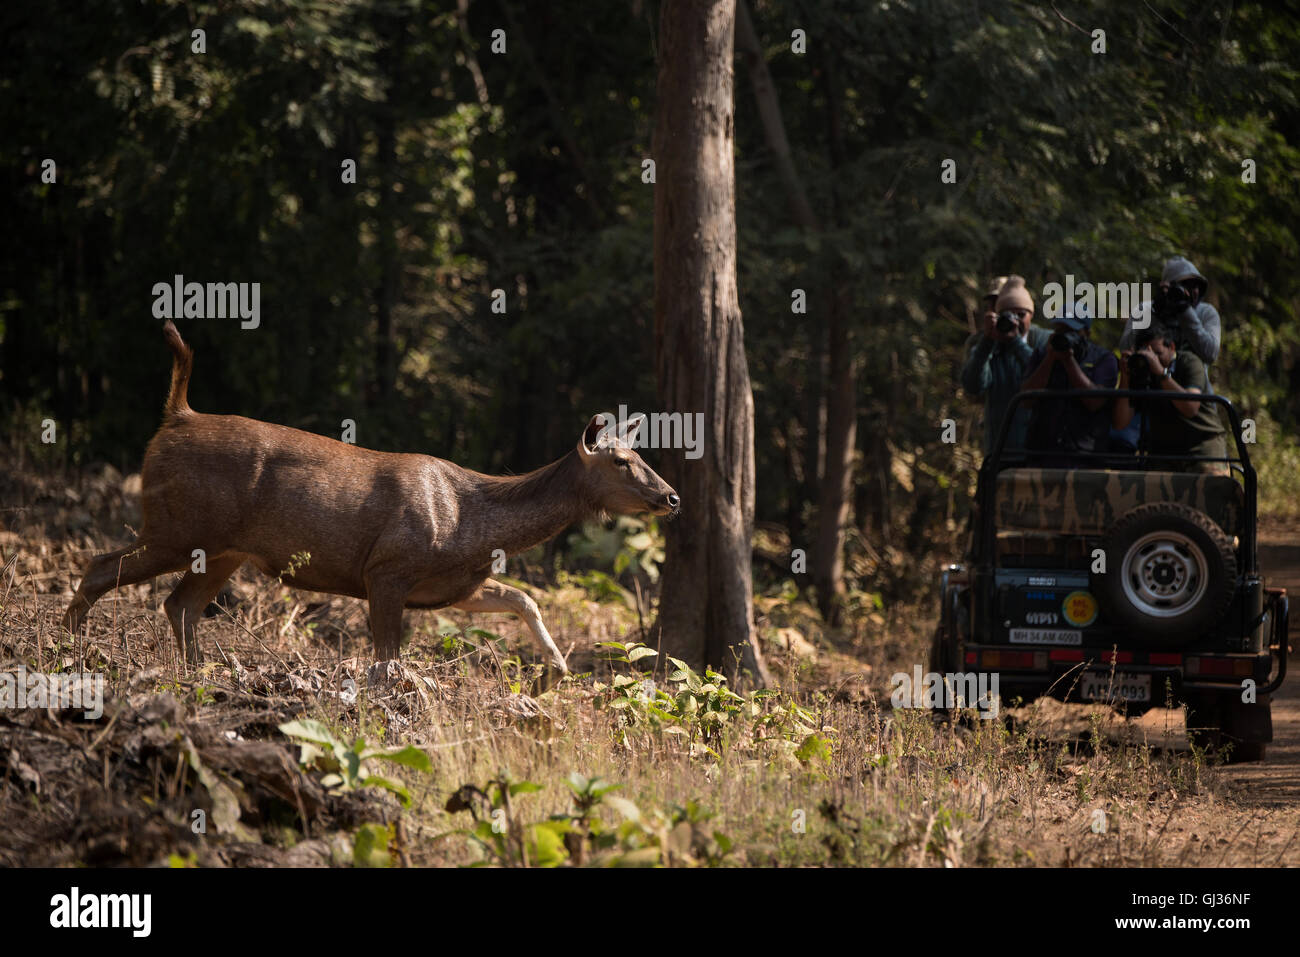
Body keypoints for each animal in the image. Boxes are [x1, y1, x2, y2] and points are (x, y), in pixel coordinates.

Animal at [63, 322, 680, 674]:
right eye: (622, 462)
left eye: (640, 454)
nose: (672, 497)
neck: (471, 526)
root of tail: (176, 416)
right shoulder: (387, 568)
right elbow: (386, 663)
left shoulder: (454, 587)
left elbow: (524, 598)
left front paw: (557, 666)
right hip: (177, 524)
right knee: (100, 567)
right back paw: (69, 649)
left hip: (222, 549)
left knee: (180, 605)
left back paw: (201, 673)